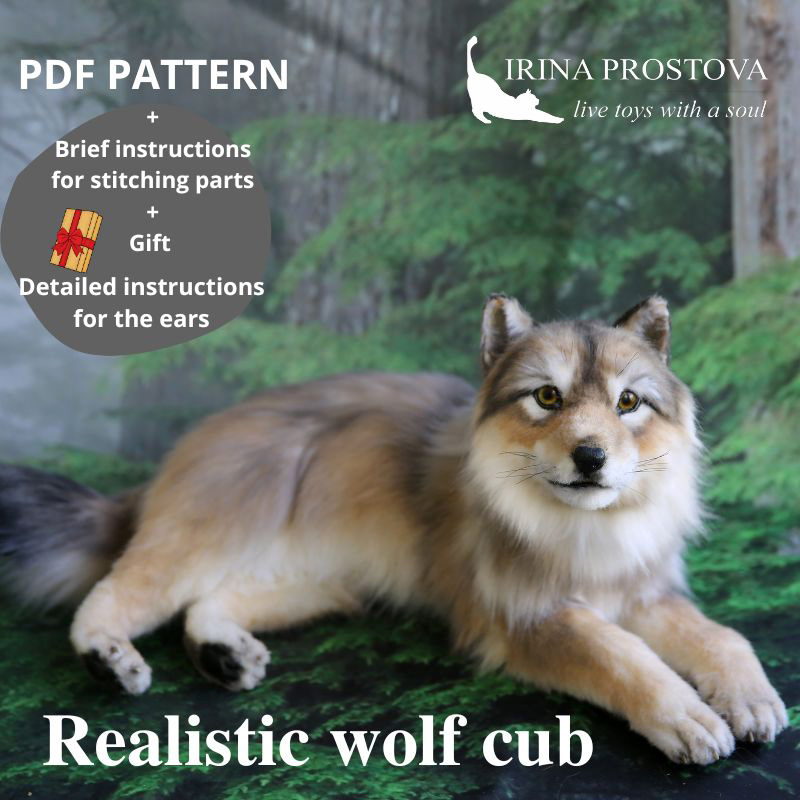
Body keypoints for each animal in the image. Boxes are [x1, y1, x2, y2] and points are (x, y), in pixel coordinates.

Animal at [0, 295, 787, 764]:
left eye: (628, 403)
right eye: (547, 397)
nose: (591, 457)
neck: (579, 531)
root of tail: (181, 453)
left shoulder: (643, 593)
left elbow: (722, 636)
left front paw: (748, 695)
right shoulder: (532, 619)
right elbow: (626, 659)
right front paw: (685, 715)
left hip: (320, 581)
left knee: (209, 606)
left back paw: (224, 655)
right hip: (199, 545)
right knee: (110, 597)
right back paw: (109, 659)